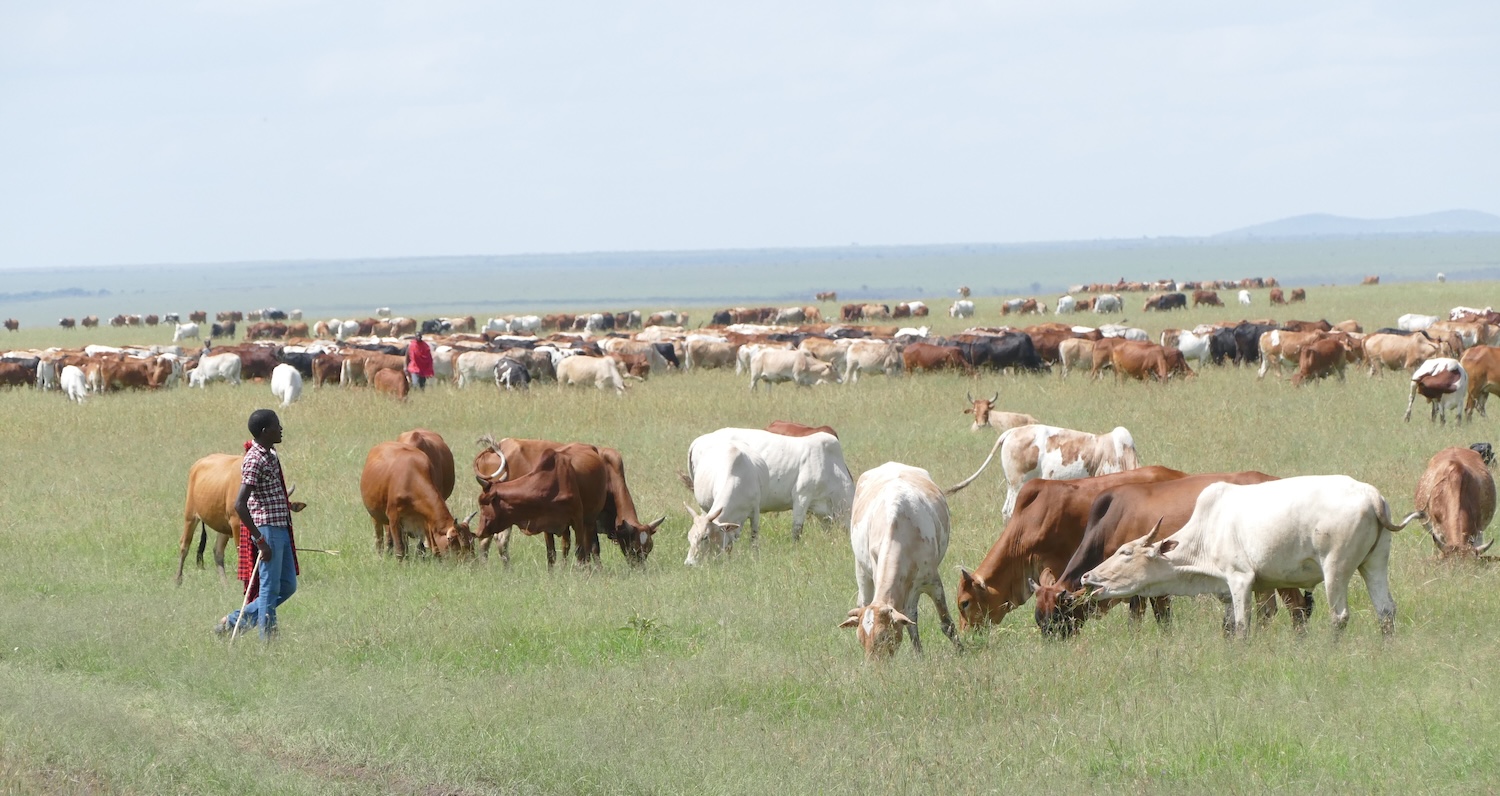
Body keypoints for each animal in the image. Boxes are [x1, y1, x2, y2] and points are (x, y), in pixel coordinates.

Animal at [839, 463, 962, 659]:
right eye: (860, 639)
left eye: (884, 636)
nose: (873, 665)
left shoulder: (932, 581)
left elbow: (946, 624)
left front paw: (962, 650)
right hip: (862, 572)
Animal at [1031, 471, 1313, 638]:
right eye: (1039, 620)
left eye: (1057, 619)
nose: (1052, 647)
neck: (1112, 521)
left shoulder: (1152, 586)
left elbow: (1153, 618)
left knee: (1297, 607)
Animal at [1081, 475, 1422, 636]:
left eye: (1126, 552)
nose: (1087, 576)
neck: (1208, 528)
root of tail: (1370, 495)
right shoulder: (1242, 588)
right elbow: (1238, 624)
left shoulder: (1240, 579)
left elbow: (1243, 626)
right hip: (1374, 564)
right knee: (1385, 611)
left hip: (1335, 568)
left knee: (1339, 616)